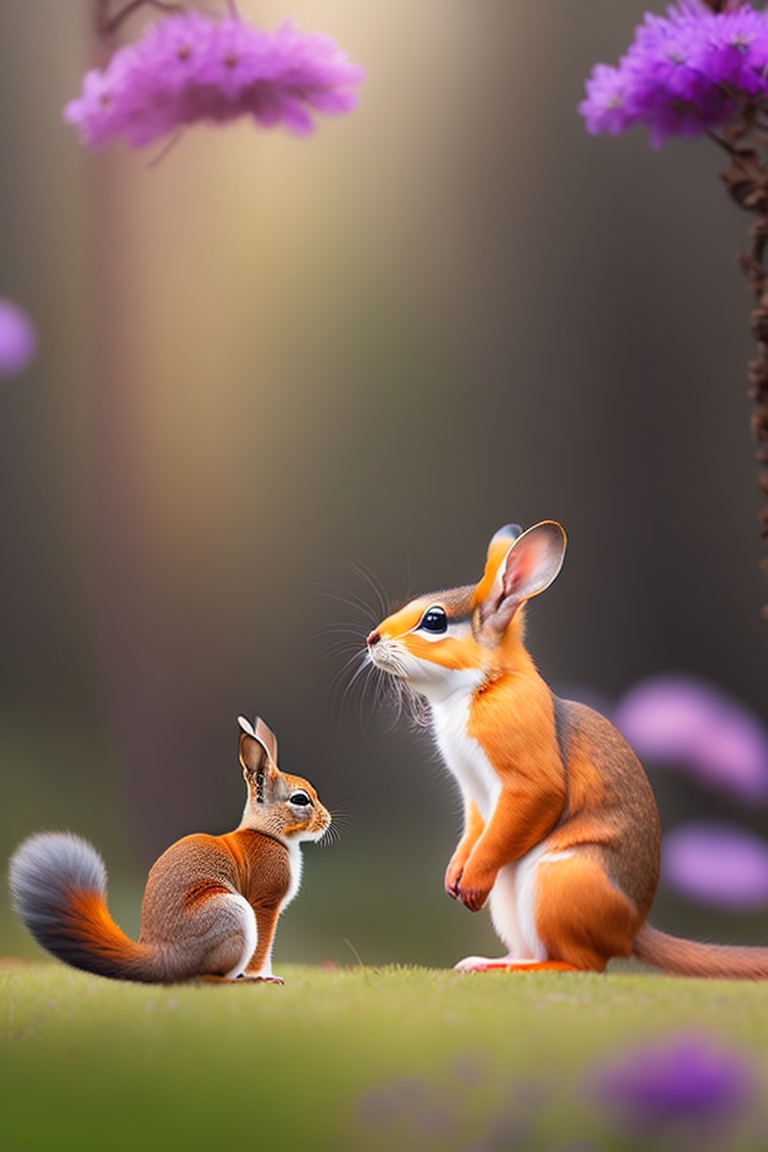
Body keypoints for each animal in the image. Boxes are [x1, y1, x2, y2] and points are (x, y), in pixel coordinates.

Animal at [8, 716, 330, 984]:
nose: (327, 821)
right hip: (232, 912)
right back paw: (241, 979)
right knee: (207, 977)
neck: (267, 834)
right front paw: (263, 976)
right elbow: (262, 945)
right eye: (300, 799)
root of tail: (163, 957)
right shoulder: (265, 899)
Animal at [366, 520, 768, 978]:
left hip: (553, 878)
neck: (483, 687)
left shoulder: (530, 781)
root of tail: (631, 931)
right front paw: (454, 874)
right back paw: (486, 962)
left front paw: (469, 883)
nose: (372, 638)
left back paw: (514, 968)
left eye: (434, 620)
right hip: (511, 898)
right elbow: (473, 833)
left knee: (582, 963)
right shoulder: (472, 796)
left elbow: (526, 808)